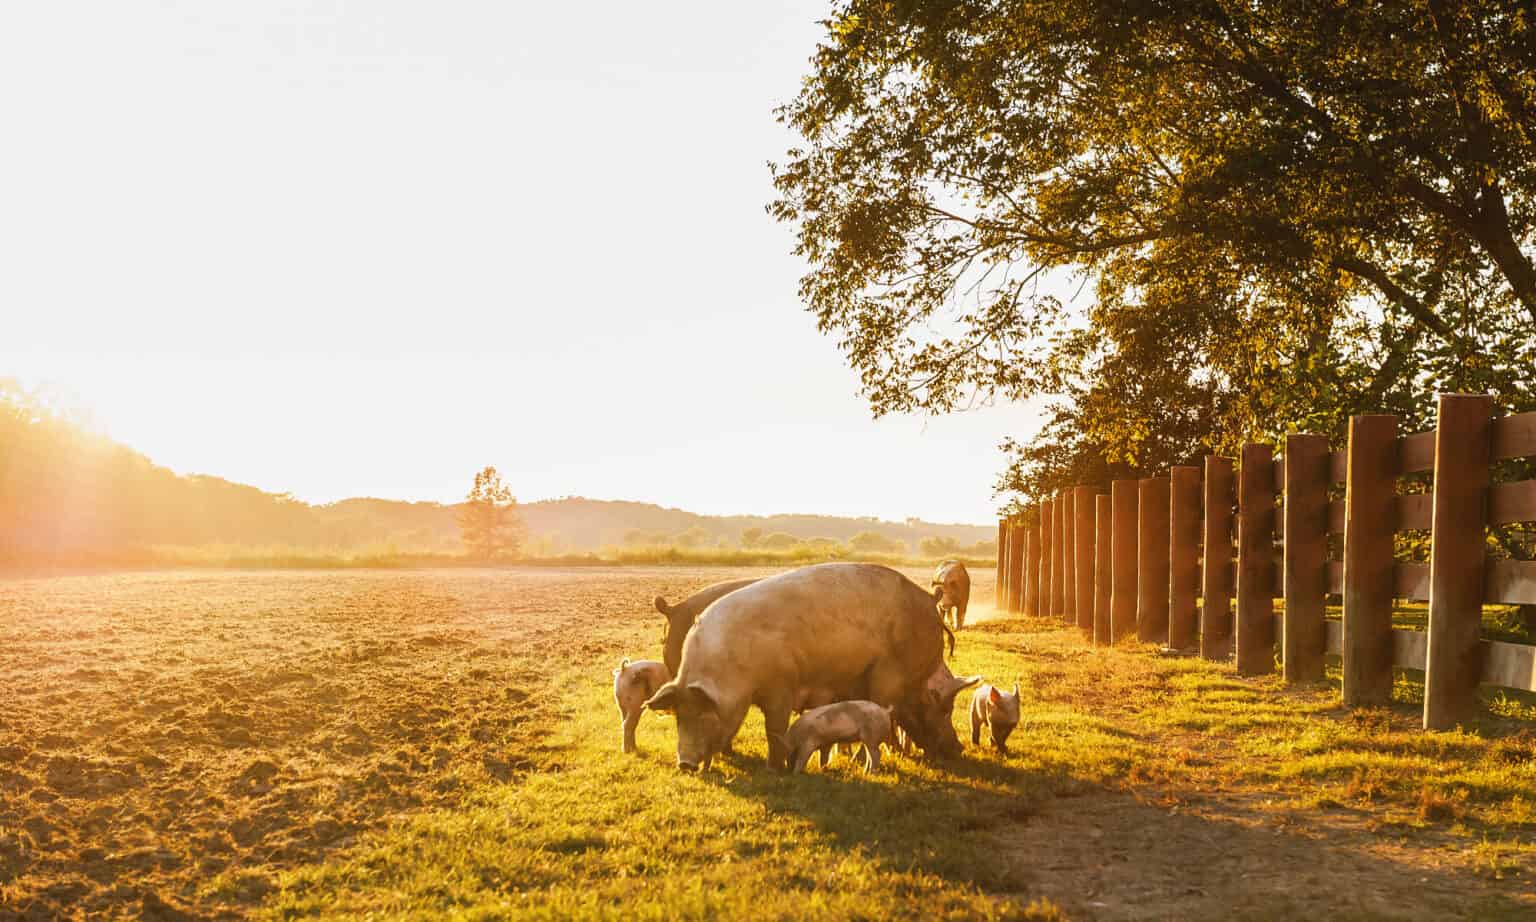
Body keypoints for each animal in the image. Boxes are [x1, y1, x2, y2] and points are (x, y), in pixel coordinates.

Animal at [644, 562, 980, 772]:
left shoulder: (781, 688)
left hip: (884, 676)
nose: (684, 764)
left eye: (948, 709)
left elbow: (774, 728)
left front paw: (773, 768)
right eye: (679, 716)